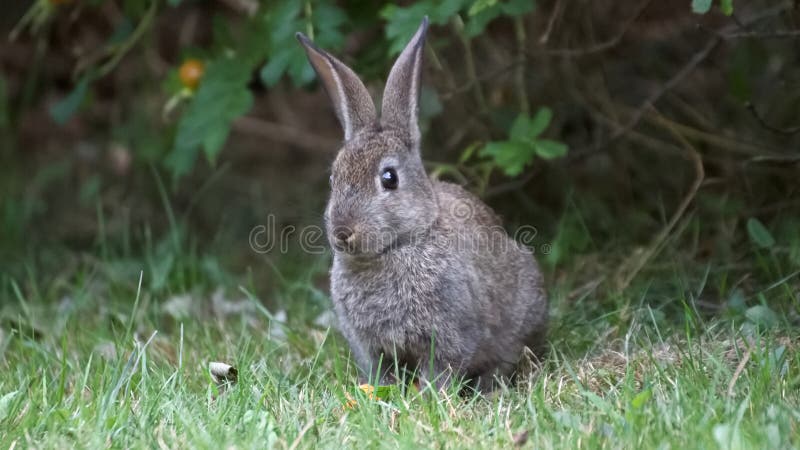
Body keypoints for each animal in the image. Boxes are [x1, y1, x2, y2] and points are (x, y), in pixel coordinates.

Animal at [296, 17, 547, 391]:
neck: (398, 247)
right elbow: (382, 369)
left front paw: (428, 395)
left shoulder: (449, 336)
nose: (343, 232)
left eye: (389, 178)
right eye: (332, 179)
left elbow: (442, 369)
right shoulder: (371, 347)